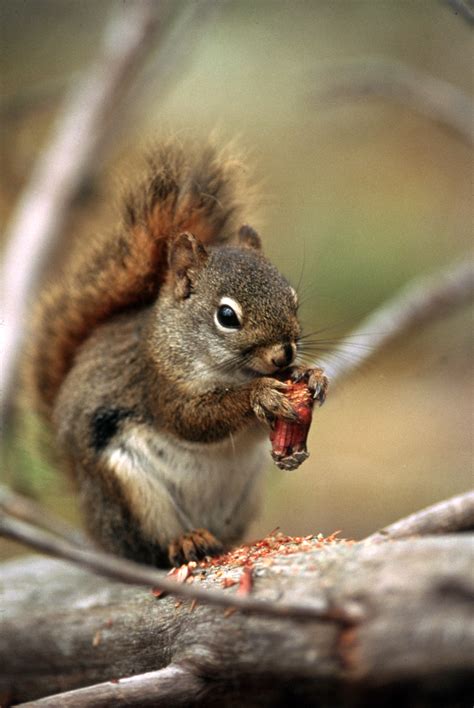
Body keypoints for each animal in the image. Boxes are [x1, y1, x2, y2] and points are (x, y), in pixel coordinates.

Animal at [27, 139, 328, 567]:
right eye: (226, 316)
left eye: (294, 300)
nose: (283, 355)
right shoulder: (158, 380)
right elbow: (192, 419)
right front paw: (259, 395)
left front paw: (314, 377)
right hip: (128, 492)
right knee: (148, 547)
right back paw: (186, 541)